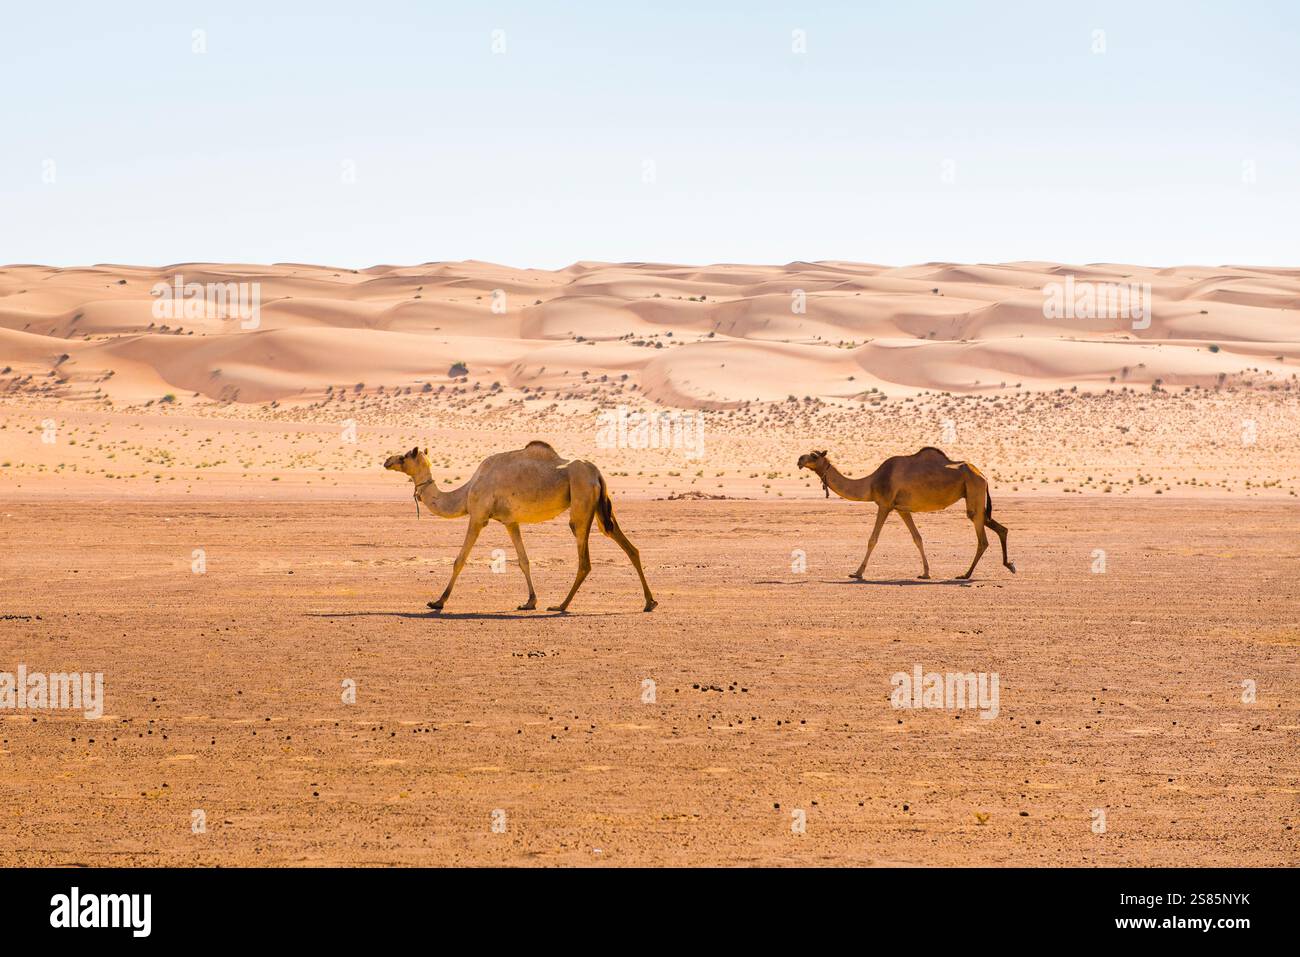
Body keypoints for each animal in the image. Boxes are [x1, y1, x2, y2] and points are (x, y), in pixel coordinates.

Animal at [383, 441, 656, 613]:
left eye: (405, 456)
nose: (387, 460)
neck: (465, 492)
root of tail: (596, 472)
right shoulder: (510, 521)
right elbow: (523, 560)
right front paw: (529, 602)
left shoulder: (478, 516)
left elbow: (459, 560)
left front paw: (438, 602)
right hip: (601, 510)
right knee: (628, 546)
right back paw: (649, 602)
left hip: (581, 503)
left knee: (584, 560)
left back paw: (561, 605)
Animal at [797, 447, 1015, 580]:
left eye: (814, 456)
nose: (799, 459)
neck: (871, 482)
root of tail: (983, 475)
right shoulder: (901, 509)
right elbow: (917, 538)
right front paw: (925, 573)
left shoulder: (884, 504)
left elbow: (872, 539)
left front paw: (857, 573)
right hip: (975, 496)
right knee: (999, 528)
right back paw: (1009, 564)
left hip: (974, 491)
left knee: (982, 538)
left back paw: (965, 575)